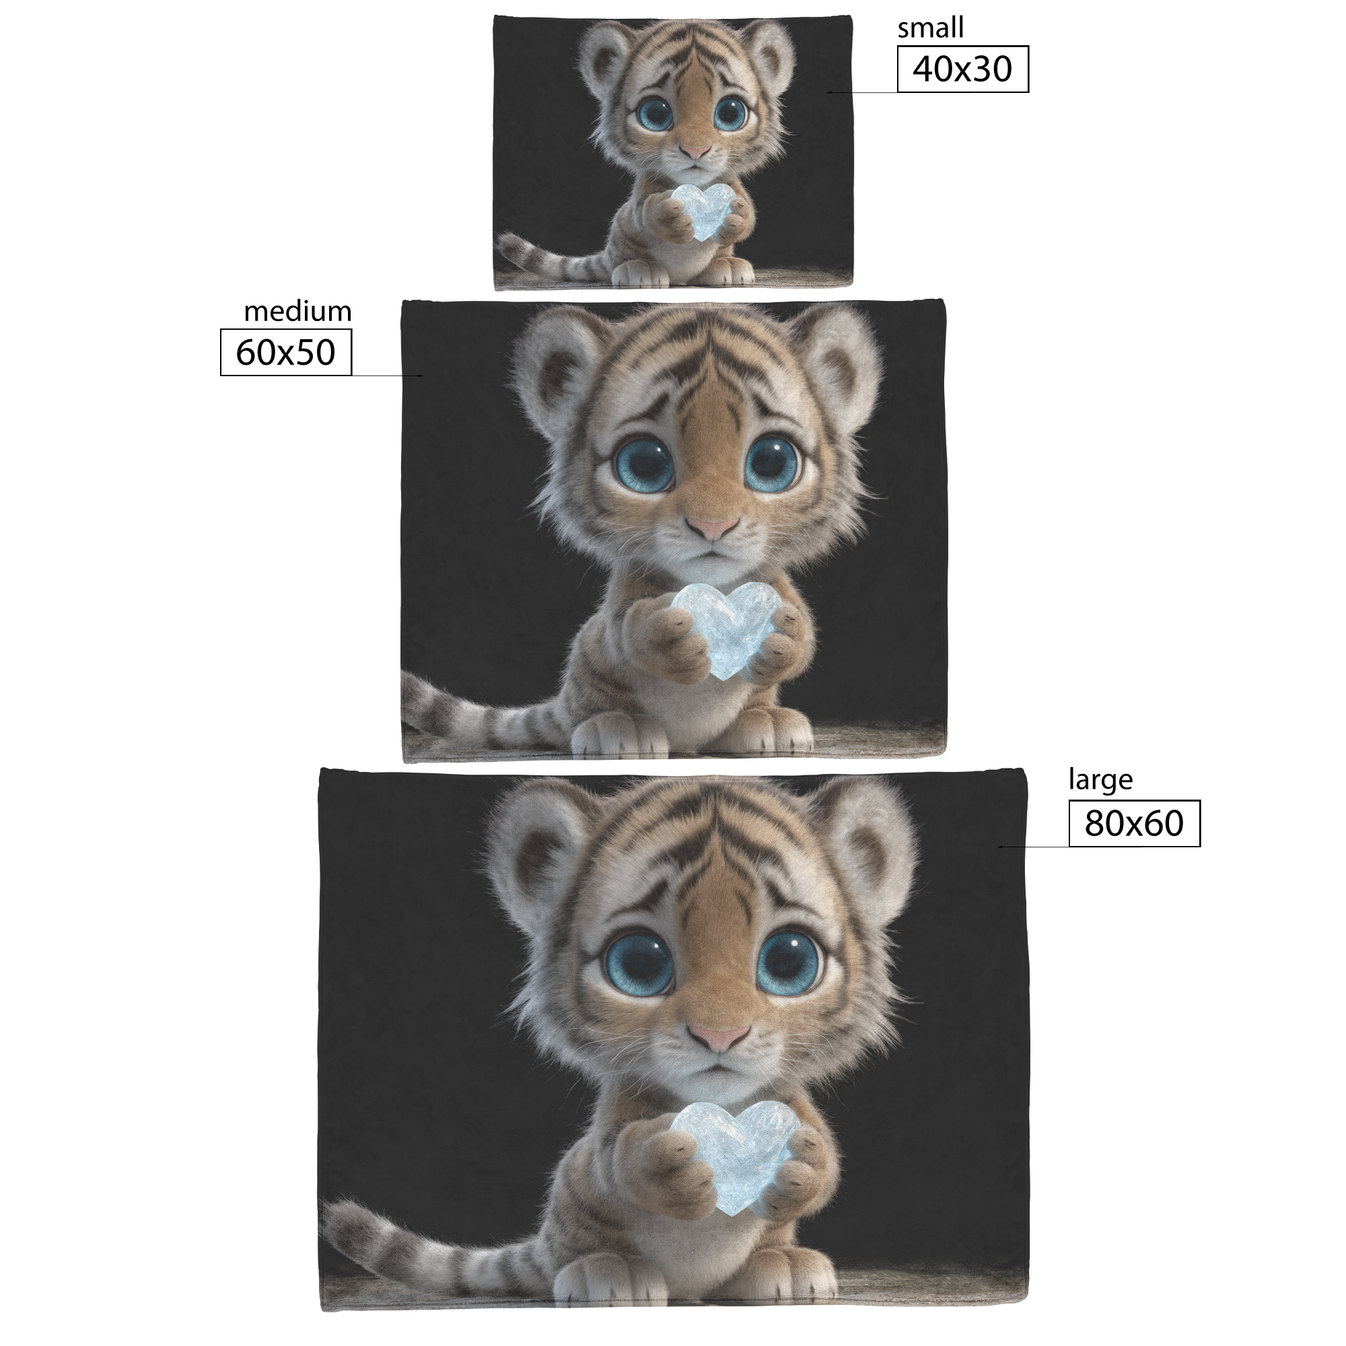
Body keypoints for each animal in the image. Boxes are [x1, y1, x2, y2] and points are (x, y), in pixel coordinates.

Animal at [324, 773, 918, 1305]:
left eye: (789, 961)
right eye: (639, 964)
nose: (719, 1034)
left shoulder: (792, 1100)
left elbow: (828, 1159)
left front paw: (803, 1164)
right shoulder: (614, 1117)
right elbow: (620, 1157)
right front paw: (668, 1160)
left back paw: (784, 1266)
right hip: (572, 1192)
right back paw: (607, 1273)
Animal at [401, 301, 883, 760]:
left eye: (771, 462)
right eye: (645, 465)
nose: (713, 525)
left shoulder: (774, 581)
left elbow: (805, 632)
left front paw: (785, 635)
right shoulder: (623, 594)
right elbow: (628, 629)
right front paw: (668, 633)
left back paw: (767, 721)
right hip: (588, 654)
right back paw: (617, 728)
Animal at [496, 20, 795, 288]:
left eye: (730, 114)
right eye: (656, 114)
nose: (695, 150)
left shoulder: (731, 183)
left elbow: (749, 213)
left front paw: (737, 215)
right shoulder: (643, 190)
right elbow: (646, 211)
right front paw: (669, 214)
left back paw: (727, 266)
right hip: (621, 228)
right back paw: (638, 270)